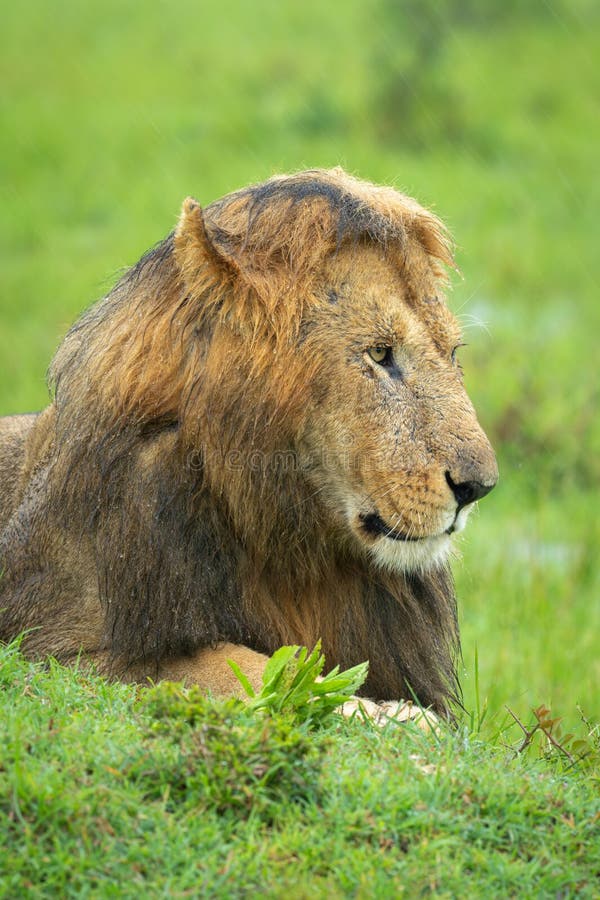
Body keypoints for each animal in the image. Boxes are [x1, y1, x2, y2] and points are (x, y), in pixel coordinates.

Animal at [0, 168, 497, 718]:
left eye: (452, 353)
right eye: (380, 353)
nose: (479, 487)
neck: (287, 540)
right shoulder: (50, 648)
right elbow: (257, 670)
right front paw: (397, 718)